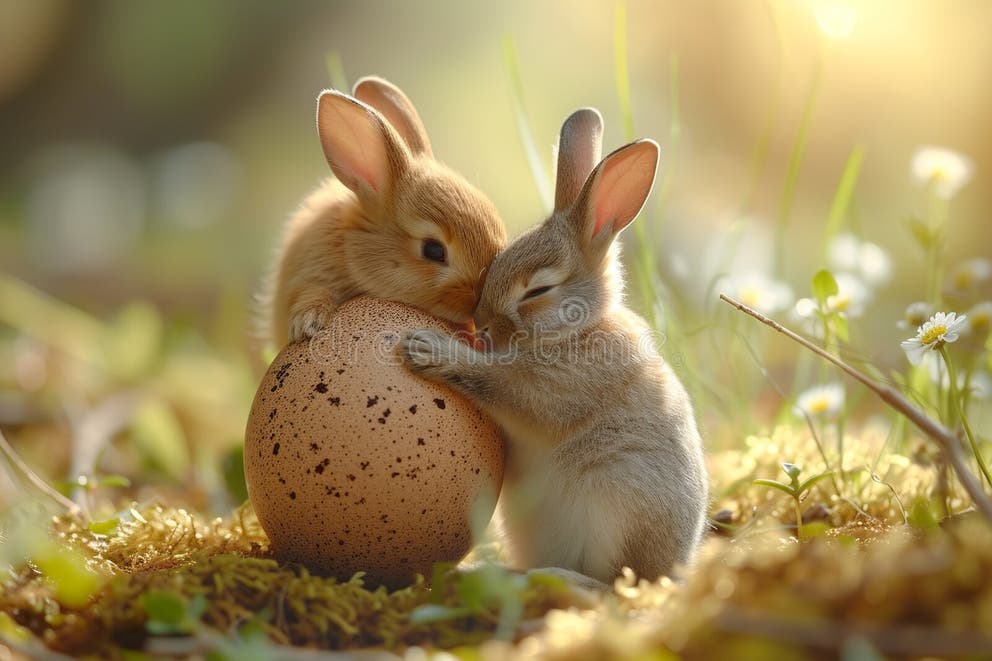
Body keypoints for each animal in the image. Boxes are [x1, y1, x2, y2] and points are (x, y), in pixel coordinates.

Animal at [400, 108, 708, 588]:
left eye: (538, 291)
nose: (482, 325)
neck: (574, 331)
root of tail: (674, 569)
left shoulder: (555, 388)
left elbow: (503, 383)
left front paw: (429, 349)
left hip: (620, 503)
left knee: (616, 585)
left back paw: (558, 580)